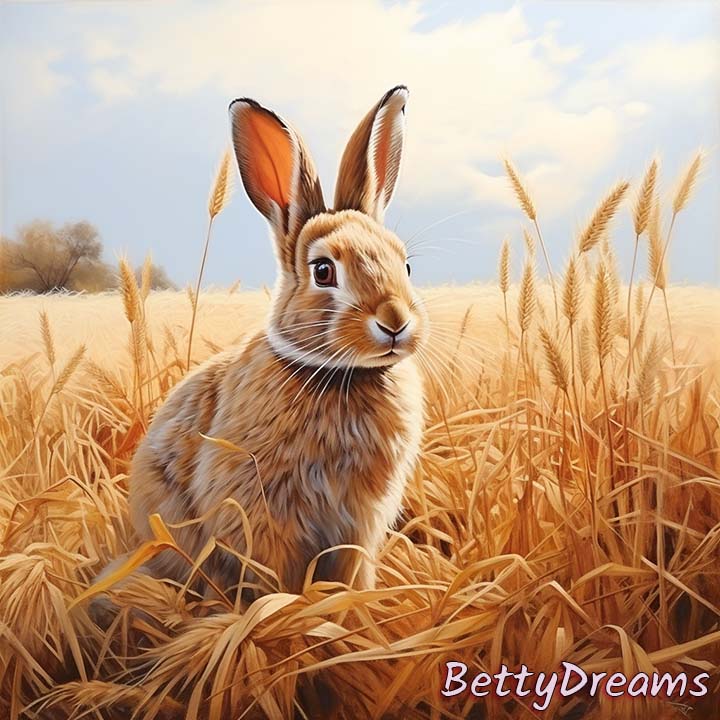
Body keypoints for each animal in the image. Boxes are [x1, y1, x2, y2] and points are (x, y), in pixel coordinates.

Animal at [123, 85, 428, 601]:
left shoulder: (360, 522)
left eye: (405, 266)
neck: (339, 376)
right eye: (323, 271)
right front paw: (284, 611)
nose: (394, 322)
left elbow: (352, 569)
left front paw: (353, 607)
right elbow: (274, 573)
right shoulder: (260, 509)